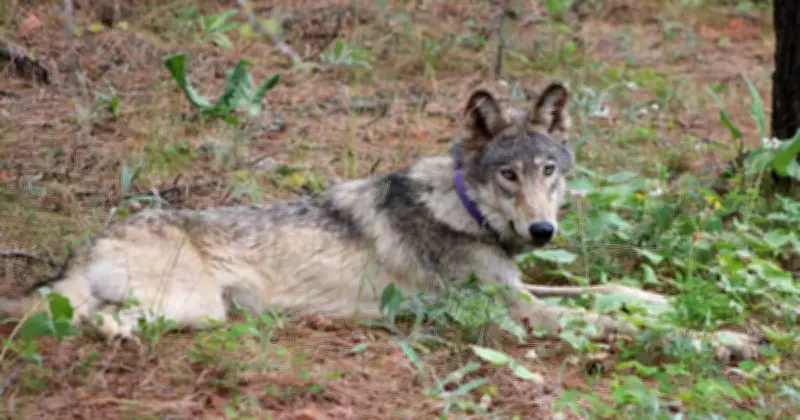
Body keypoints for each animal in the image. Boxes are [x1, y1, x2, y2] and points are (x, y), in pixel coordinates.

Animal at [0, 82, 760, 362]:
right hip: (193, 307)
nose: (543, 233)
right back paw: (115, 338)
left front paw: (666, 301)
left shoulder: (517, 290)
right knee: (84, 319)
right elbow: (605, 322)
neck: (464, 209)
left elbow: (609, 293)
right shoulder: (510, 314)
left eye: (549, 170)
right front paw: (722, 338)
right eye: (508, 175)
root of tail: (91, 241)